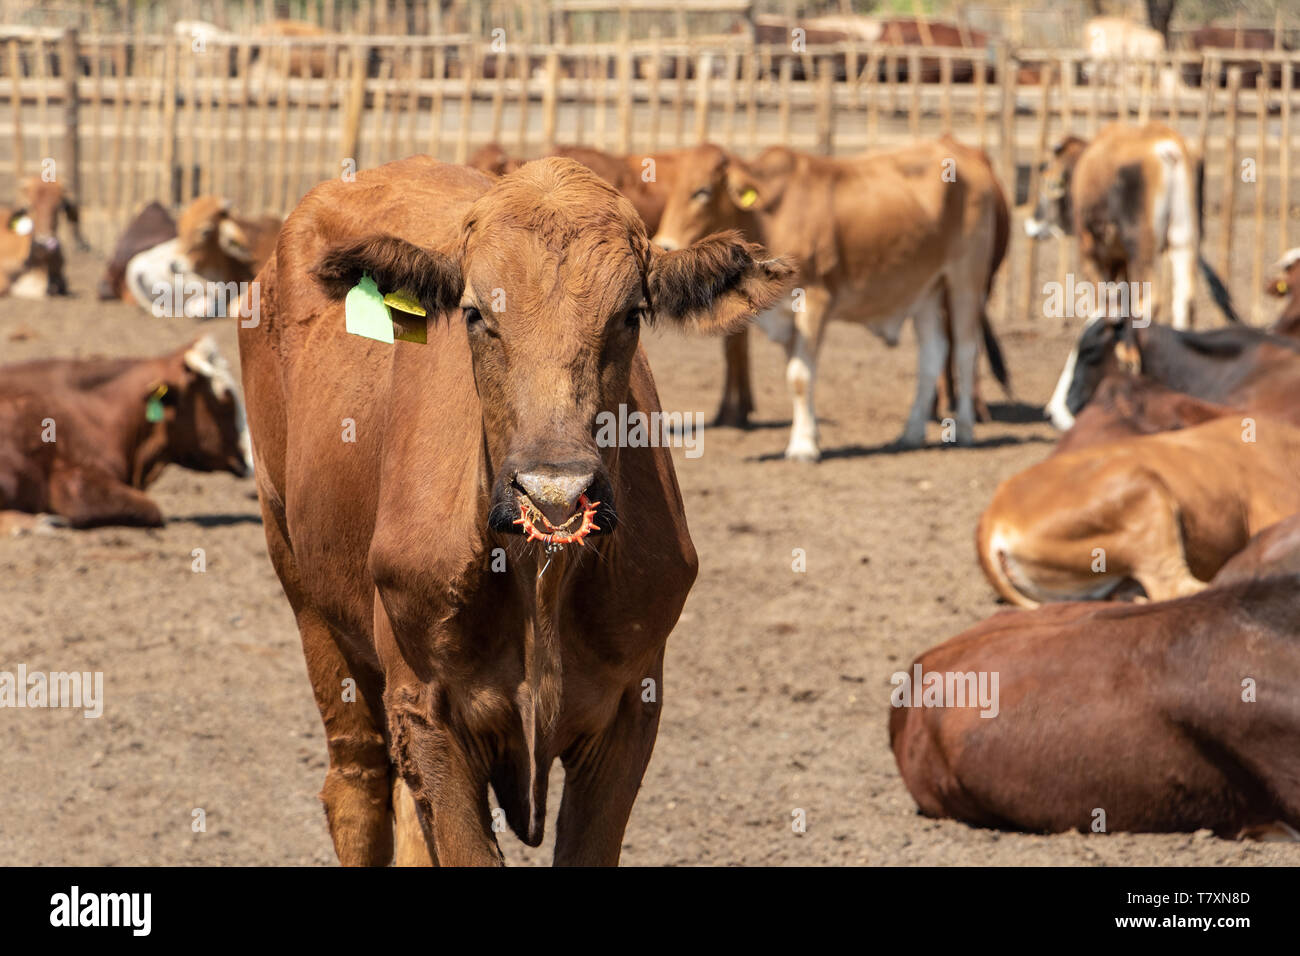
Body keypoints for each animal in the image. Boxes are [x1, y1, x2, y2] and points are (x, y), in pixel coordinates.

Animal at [236, 155, 793, 866]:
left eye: (630, 315)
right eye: (475, 313)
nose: (553, 492)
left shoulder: (632, 708)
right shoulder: (427, 709)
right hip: (306, 591)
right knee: (356, 783)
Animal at [653, 137, 1009, 457]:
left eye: (702, 191)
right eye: (671, 192)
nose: (665, 245)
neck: (771, 215)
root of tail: (970, 155)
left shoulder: (814, 299)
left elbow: (800, 375)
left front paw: (803, 446)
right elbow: (795, 372)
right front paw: (810, 434)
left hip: (966, 278)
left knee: (965, 350)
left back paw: (965, 429)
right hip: (926, 289)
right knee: (933, 353)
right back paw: (910, 432)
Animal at [1027, 123, 1238, 338]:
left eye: (1046, 184)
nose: (1031, 224)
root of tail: (1170, 147)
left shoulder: (1090, 252)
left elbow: (1103, 302)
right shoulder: (1120, 259)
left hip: (1141, 247)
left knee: (1149, 301)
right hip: (1183, 241)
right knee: (1185, 301)